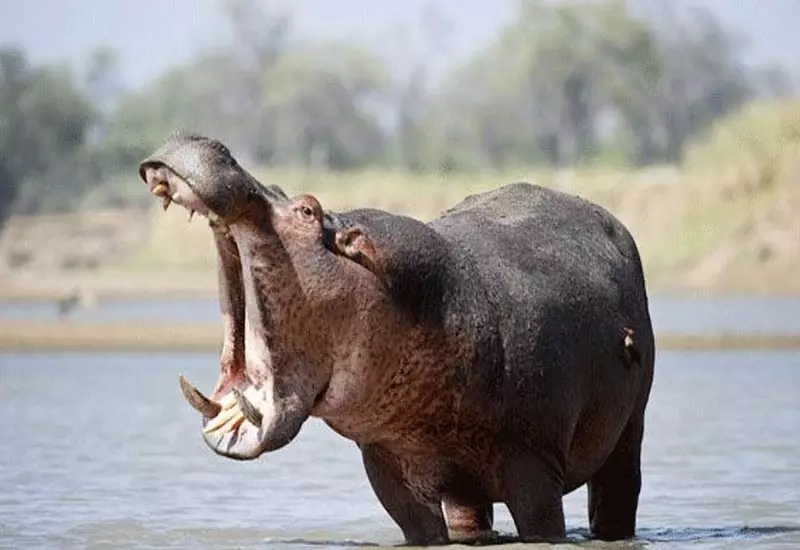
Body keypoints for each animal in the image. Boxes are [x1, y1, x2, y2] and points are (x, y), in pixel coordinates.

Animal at [138, 136, 652, 544]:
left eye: (307, 209)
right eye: (282, 191)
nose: (210, 143)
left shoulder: (534, 466)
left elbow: (544, 529)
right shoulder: (386, 464)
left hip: (628, 435)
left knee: (618, 495)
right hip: (467, 490)